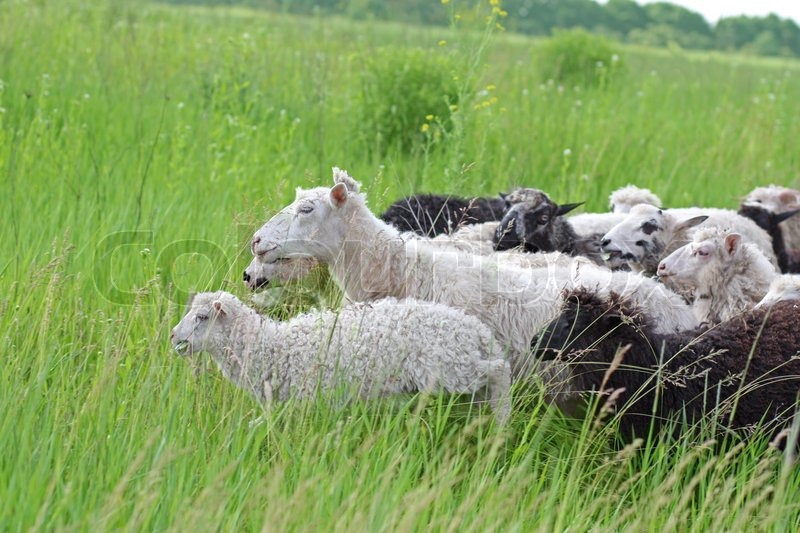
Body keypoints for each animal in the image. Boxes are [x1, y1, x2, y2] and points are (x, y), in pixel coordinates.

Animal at [171, 292, 512, 422]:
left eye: (202, 317)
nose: (174, 338)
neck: (274, 348)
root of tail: (477, 330)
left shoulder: (314, 398)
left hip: (451, 368)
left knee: (500, 370)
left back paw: (501, 421)